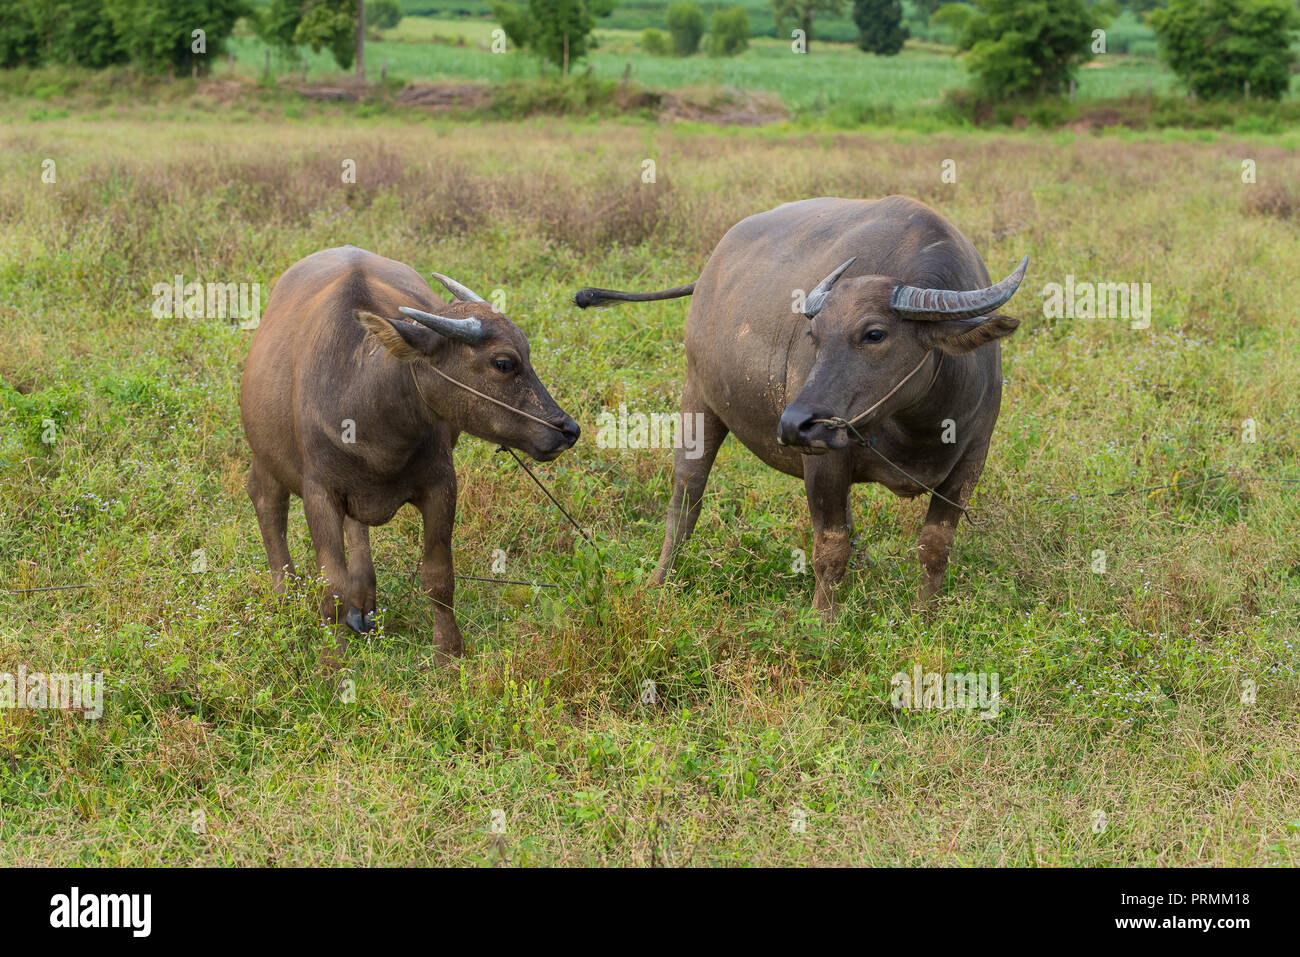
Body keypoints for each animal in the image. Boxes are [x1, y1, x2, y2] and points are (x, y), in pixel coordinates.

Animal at [241, 246, 579, 657]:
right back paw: (284, 596)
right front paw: (333, 662)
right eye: (504, 362)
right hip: (265, 452)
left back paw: (363, 601)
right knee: (266, 500)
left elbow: (438, 576)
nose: (567, 430)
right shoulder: (319, 493)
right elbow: (331, 588)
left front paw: (448, 651)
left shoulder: (441, 485)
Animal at [575, 196, 1027, 614]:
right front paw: (824, 622)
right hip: (697, 397)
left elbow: (935, 545)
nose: (795, 424)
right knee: (685, 499)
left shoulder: (971, 458)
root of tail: (707, 274)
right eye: (815, 335)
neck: (915, 425)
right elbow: (829, 546)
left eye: (875, 333)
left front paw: (924, 614)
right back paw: (659, 582)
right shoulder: (823, 462)